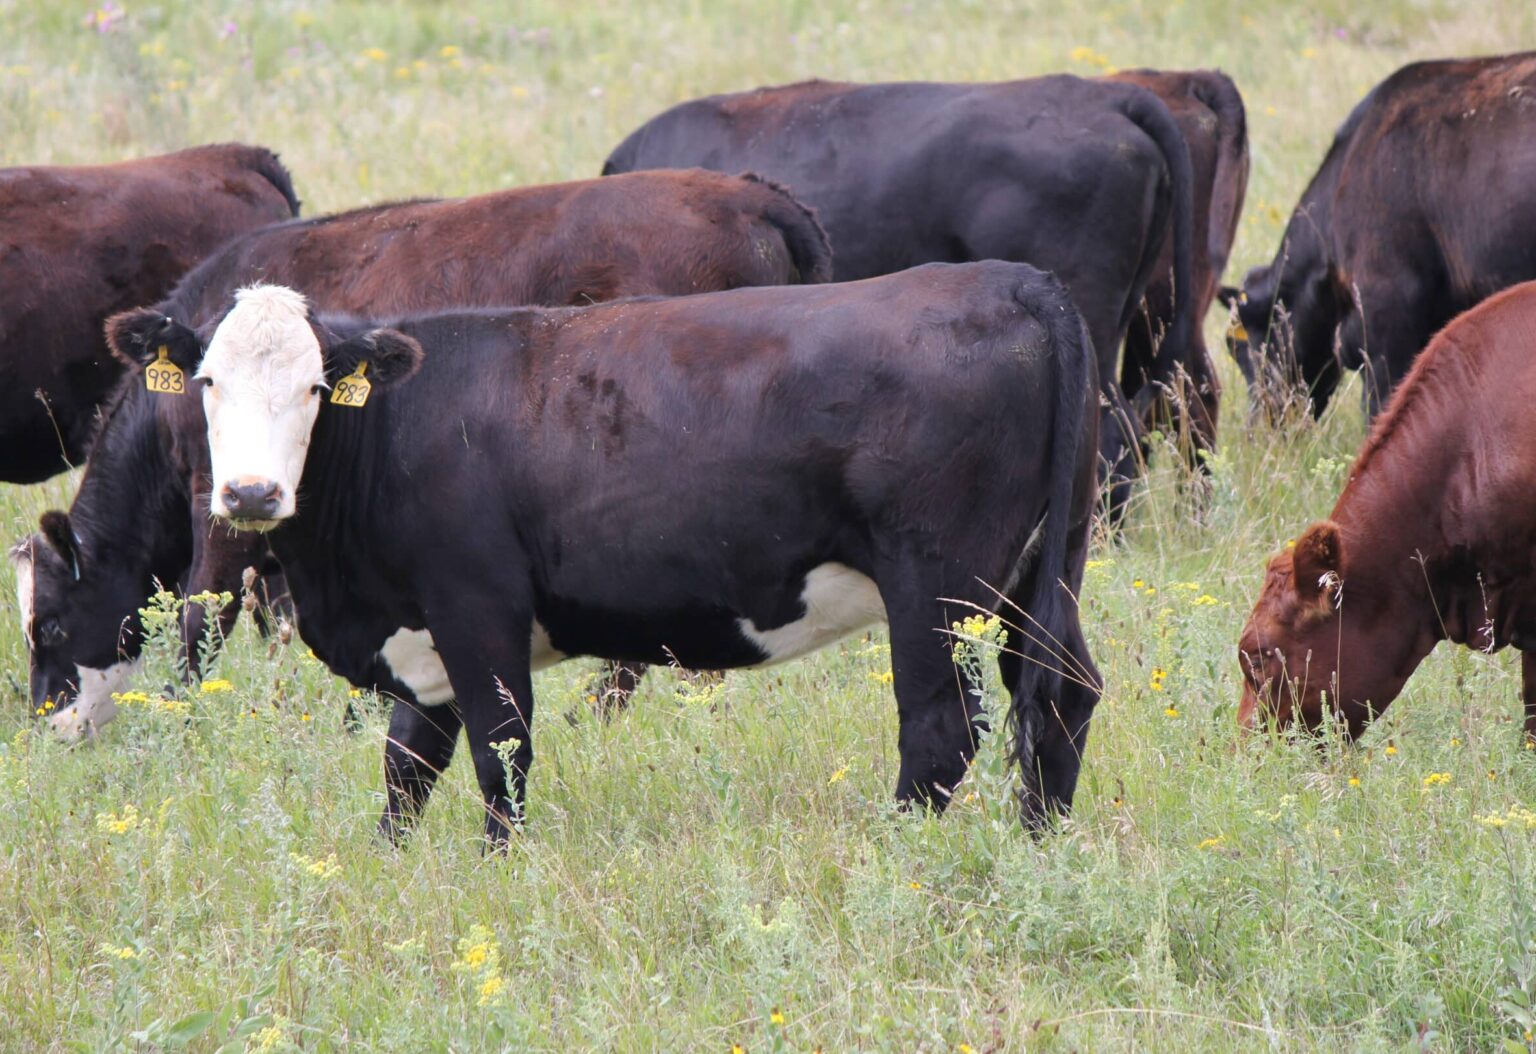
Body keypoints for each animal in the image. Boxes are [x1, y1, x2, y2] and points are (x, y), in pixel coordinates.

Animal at [9, 169, 832, 833]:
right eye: (209, 380)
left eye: (49, 626)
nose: (49, 730)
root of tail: (759, 194)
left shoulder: (224, 500)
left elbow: (200, 621)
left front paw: (184, 722)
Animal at [106, 262, 1102, 843]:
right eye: (206, 381)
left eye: (316, 387)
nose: (250, 495)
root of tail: (1013, 280)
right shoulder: (424, 639)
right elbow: (406, 768)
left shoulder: (477, 607)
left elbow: (499, 751)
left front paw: (500, 871)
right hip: (1040, 570)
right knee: (1062, 694)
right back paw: (1040, 848)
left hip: (937, 587)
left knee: (941, 726)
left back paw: (900, 859)